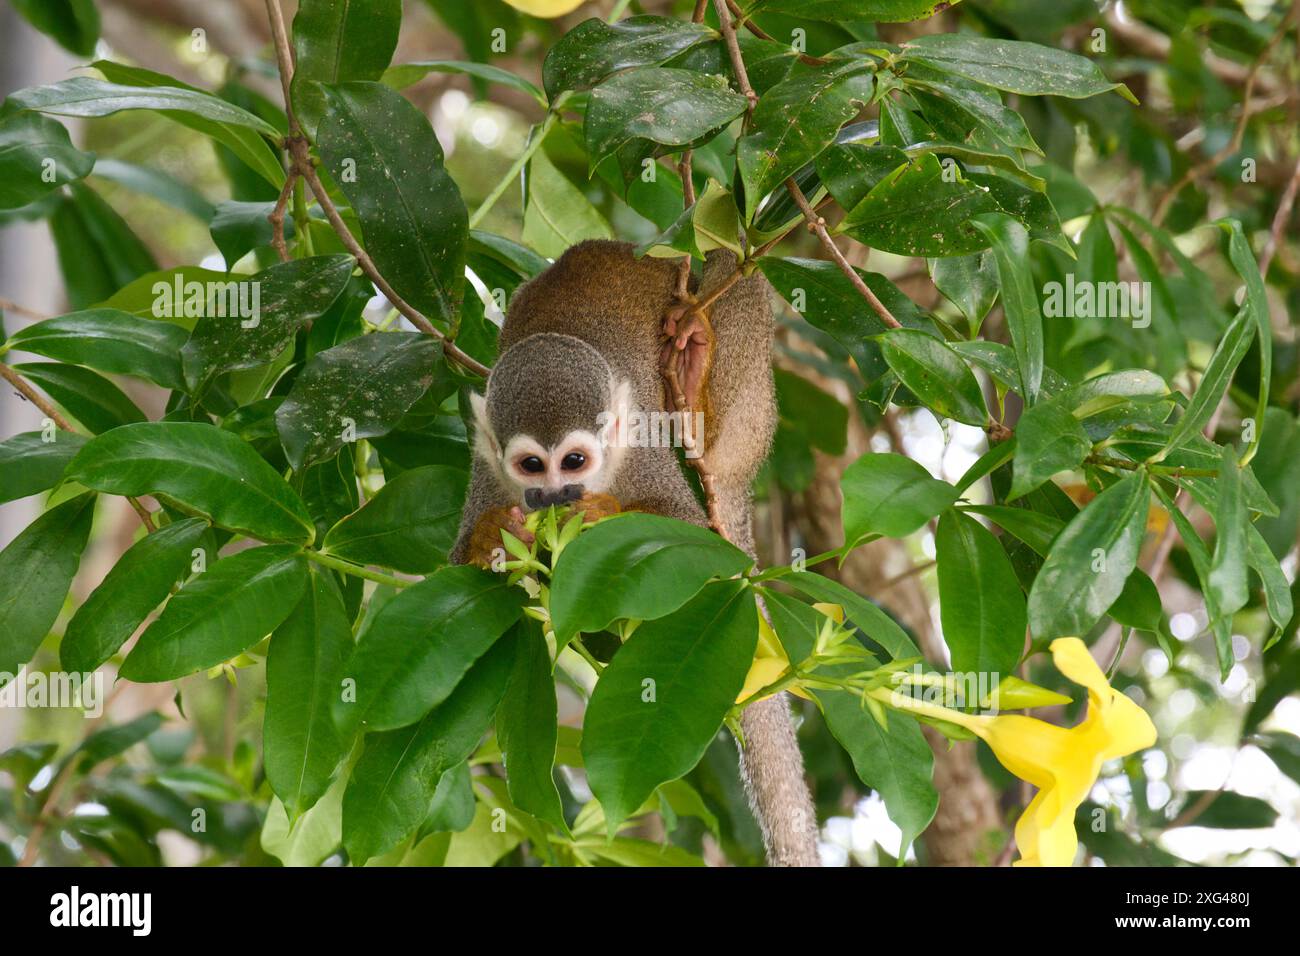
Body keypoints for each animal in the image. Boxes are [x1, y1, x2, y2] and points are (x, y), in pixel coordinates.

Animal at [450, 240, 820, 867]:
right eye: (532, 466)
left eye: (573, 461)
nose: (555, 495)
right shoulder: (487, 472)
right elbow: (452, 569)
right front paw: (493, 538)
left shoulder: (642, 443)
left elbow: (690, 531)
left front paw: (601, 517)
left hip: (751, 414)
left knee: (730, 272)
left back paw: (694, 371)